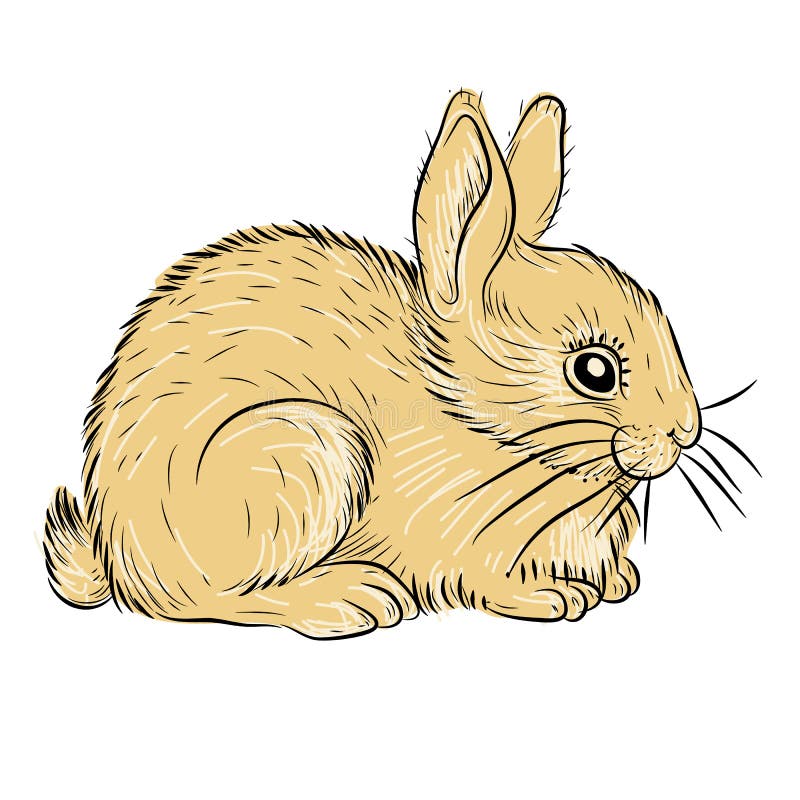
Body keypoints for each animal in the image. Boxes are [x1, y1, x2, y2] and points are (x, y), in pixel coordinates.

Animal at [44, 89, 705, 639]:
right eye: (594, 371)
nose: (685, 430)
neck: (478, 425)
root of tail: (119, 556)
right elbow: (481, 583)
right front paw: (552, 598)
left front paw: (618, 581)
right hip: (298, 457)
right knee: (204, 600)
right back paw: (348, 599)